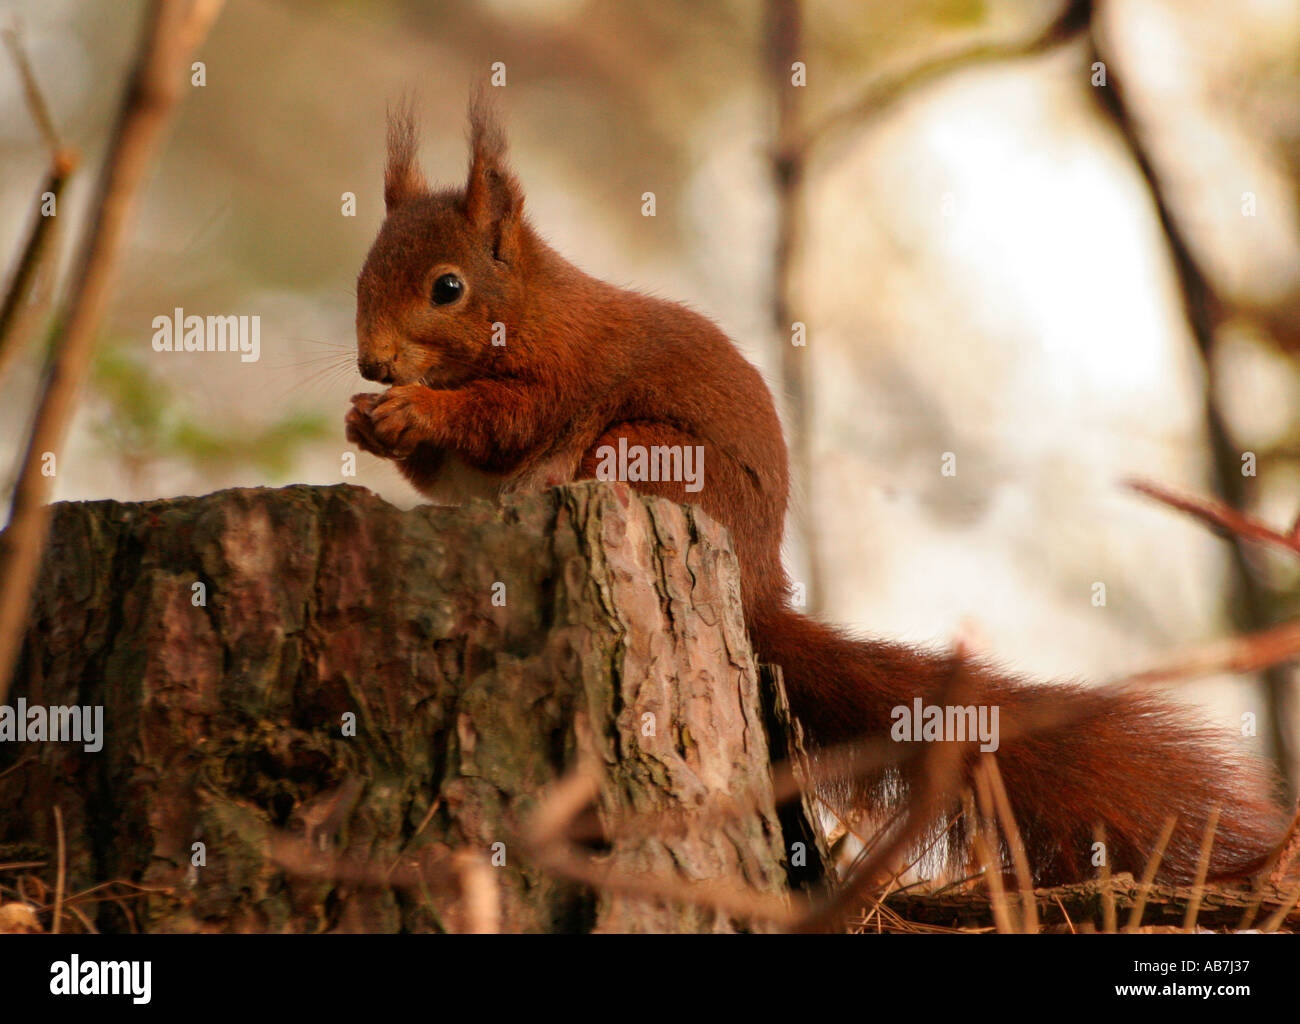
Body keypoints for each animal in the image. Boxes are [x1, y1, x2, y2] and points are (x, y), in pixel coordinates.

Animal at [345, 96, 1288, 886]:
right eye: (363, 276)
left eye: (447, 287)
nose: (373, 363)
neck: (529, 307)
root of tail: (760, 588)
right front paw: (368, 423)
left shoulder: (556, 376)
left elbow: (501, 418)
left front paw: (415, 410)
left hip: (643, 454)